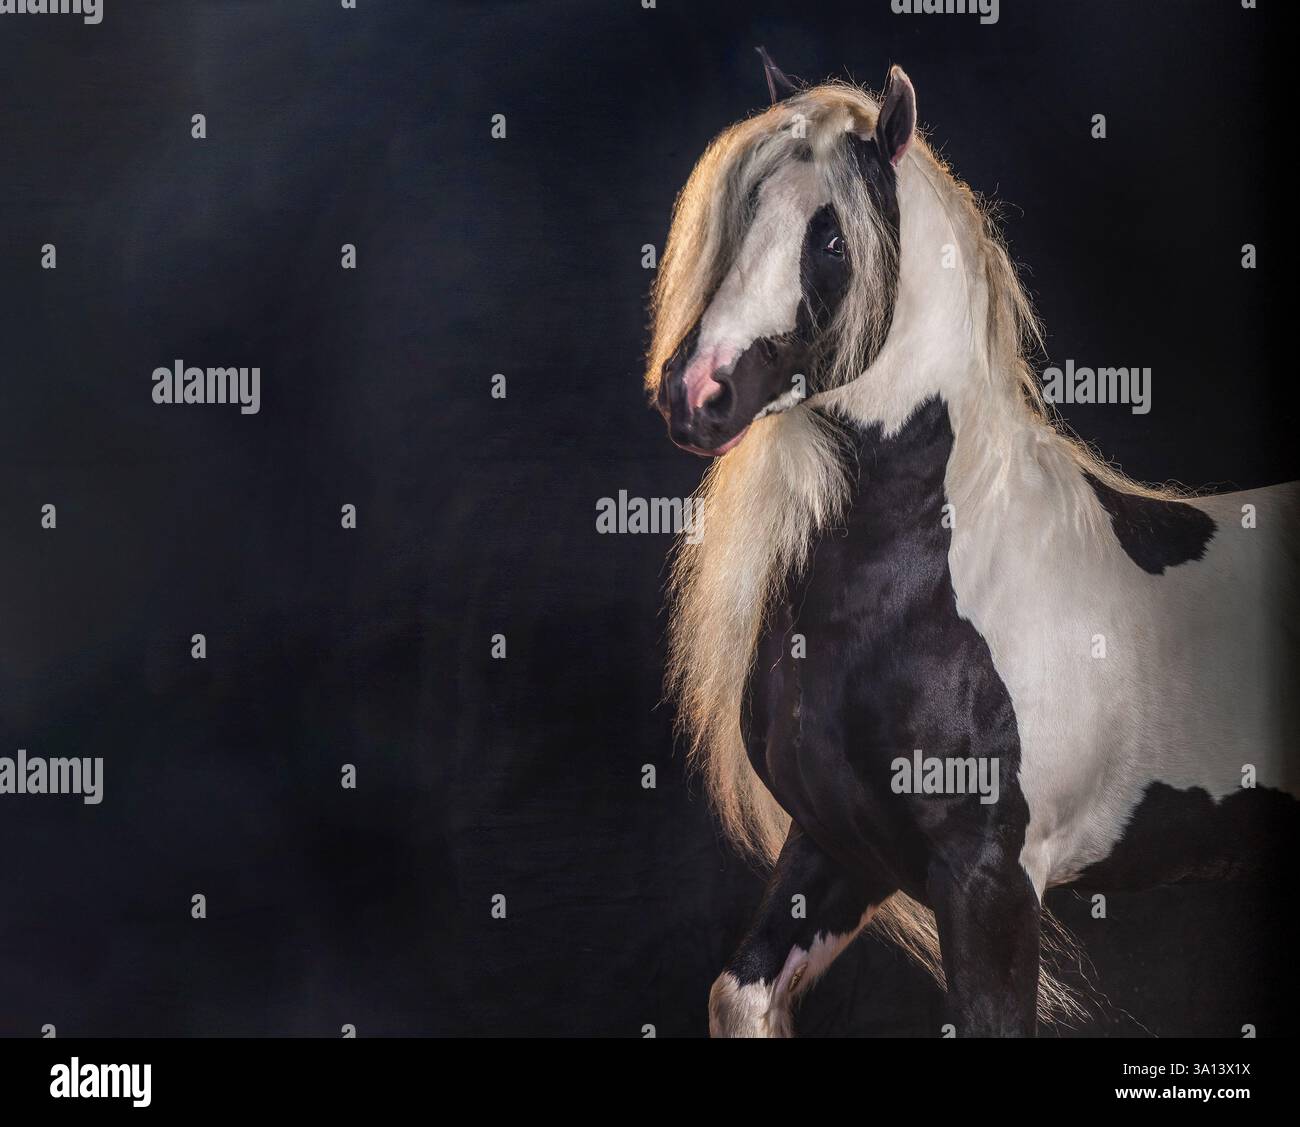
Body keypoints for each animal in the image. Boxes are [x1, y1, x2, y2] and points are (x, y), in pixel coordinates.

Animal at [646, 54, 1299, 1037]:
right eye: (740, 212)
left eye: (831, 238)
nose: (695, 394)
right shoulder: (834, 847)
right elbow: (740, 993)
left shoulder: (990, 880)